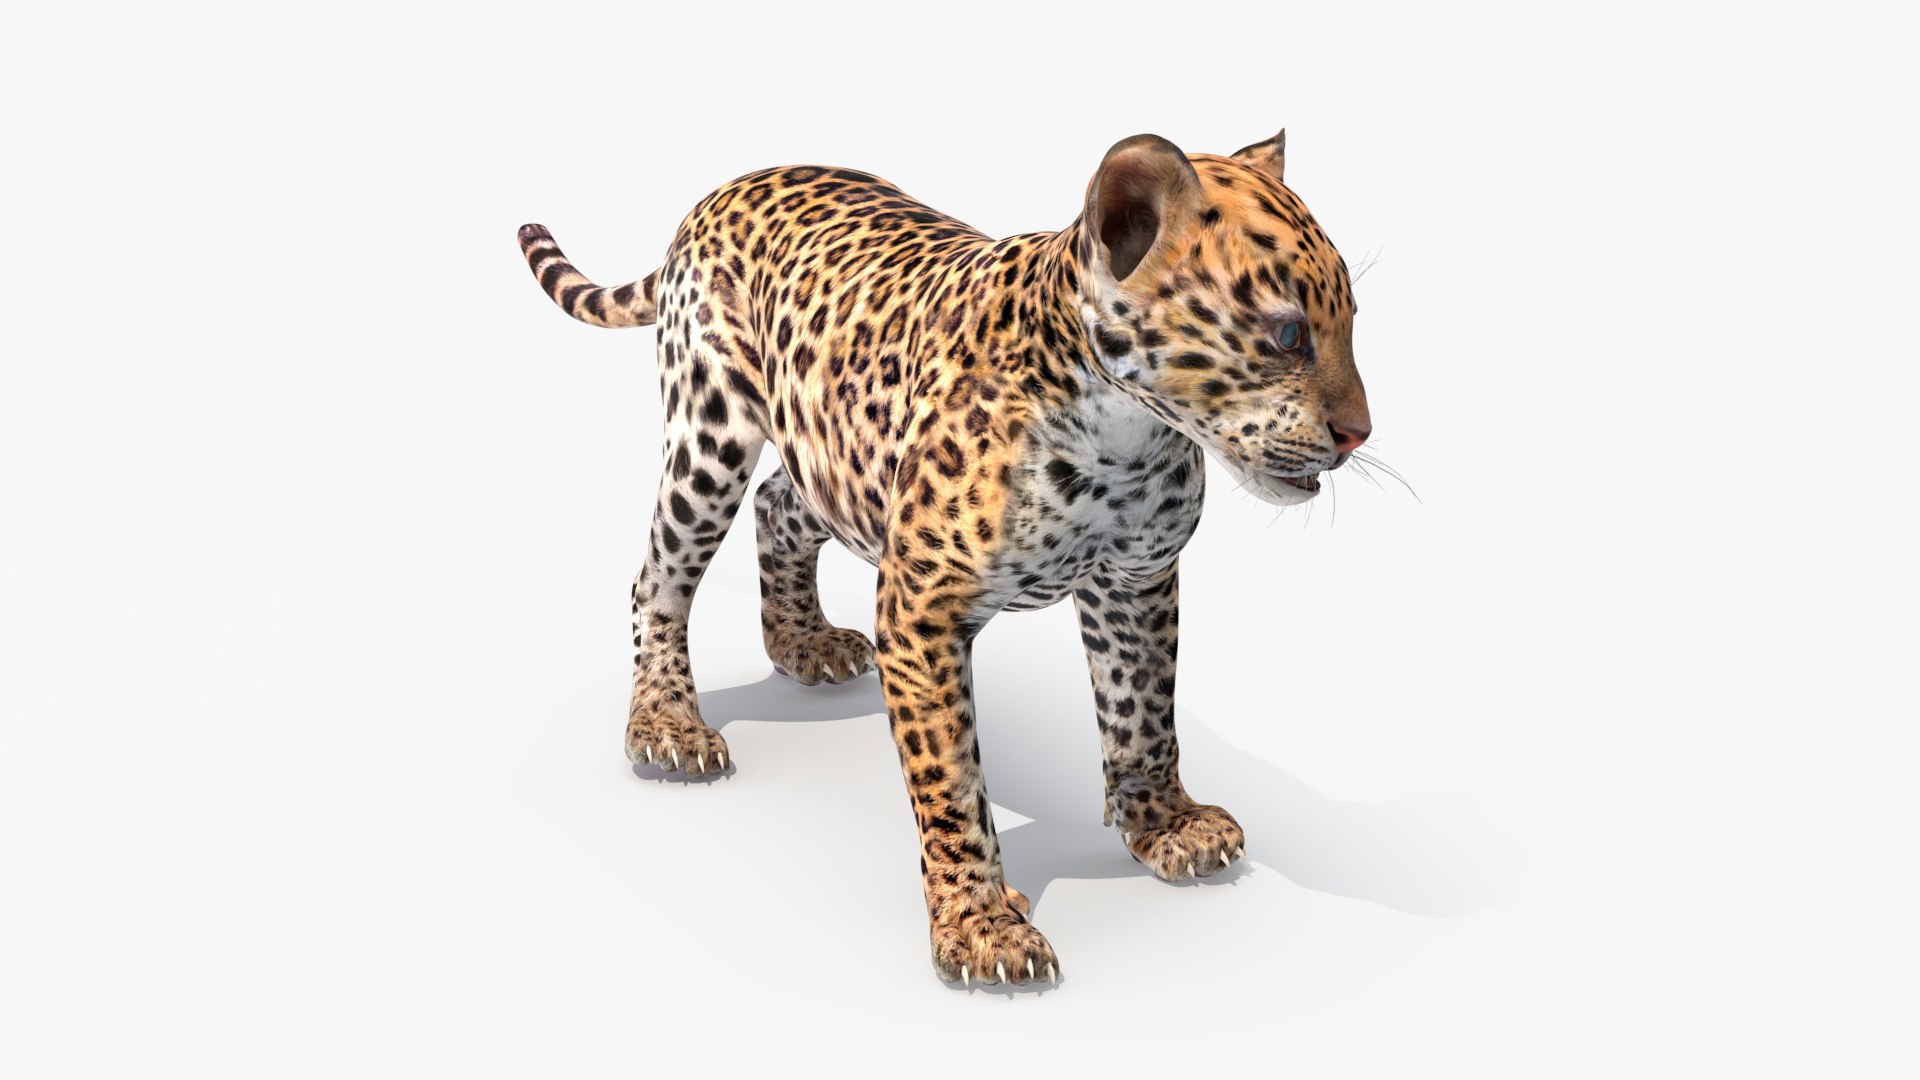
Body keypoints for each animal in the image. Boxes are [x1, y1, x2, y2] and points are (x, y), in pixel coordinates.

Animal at [517, 129, 1372, 988]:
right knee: (658, 576)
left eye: (1353, 323)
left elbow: (1143, 710)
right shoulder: (920, 612)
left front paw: (1165, 824)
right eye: (1288, 335)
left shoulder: (1135, 580)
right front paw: (982, 925)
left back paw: (802, 641)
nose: (1358, 434)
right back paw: (667, 722)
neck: (1123, 435)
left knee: (778, 505)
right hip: (710, 431)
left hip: (835, 455)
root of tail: (724, 189)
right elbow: (953, 782)